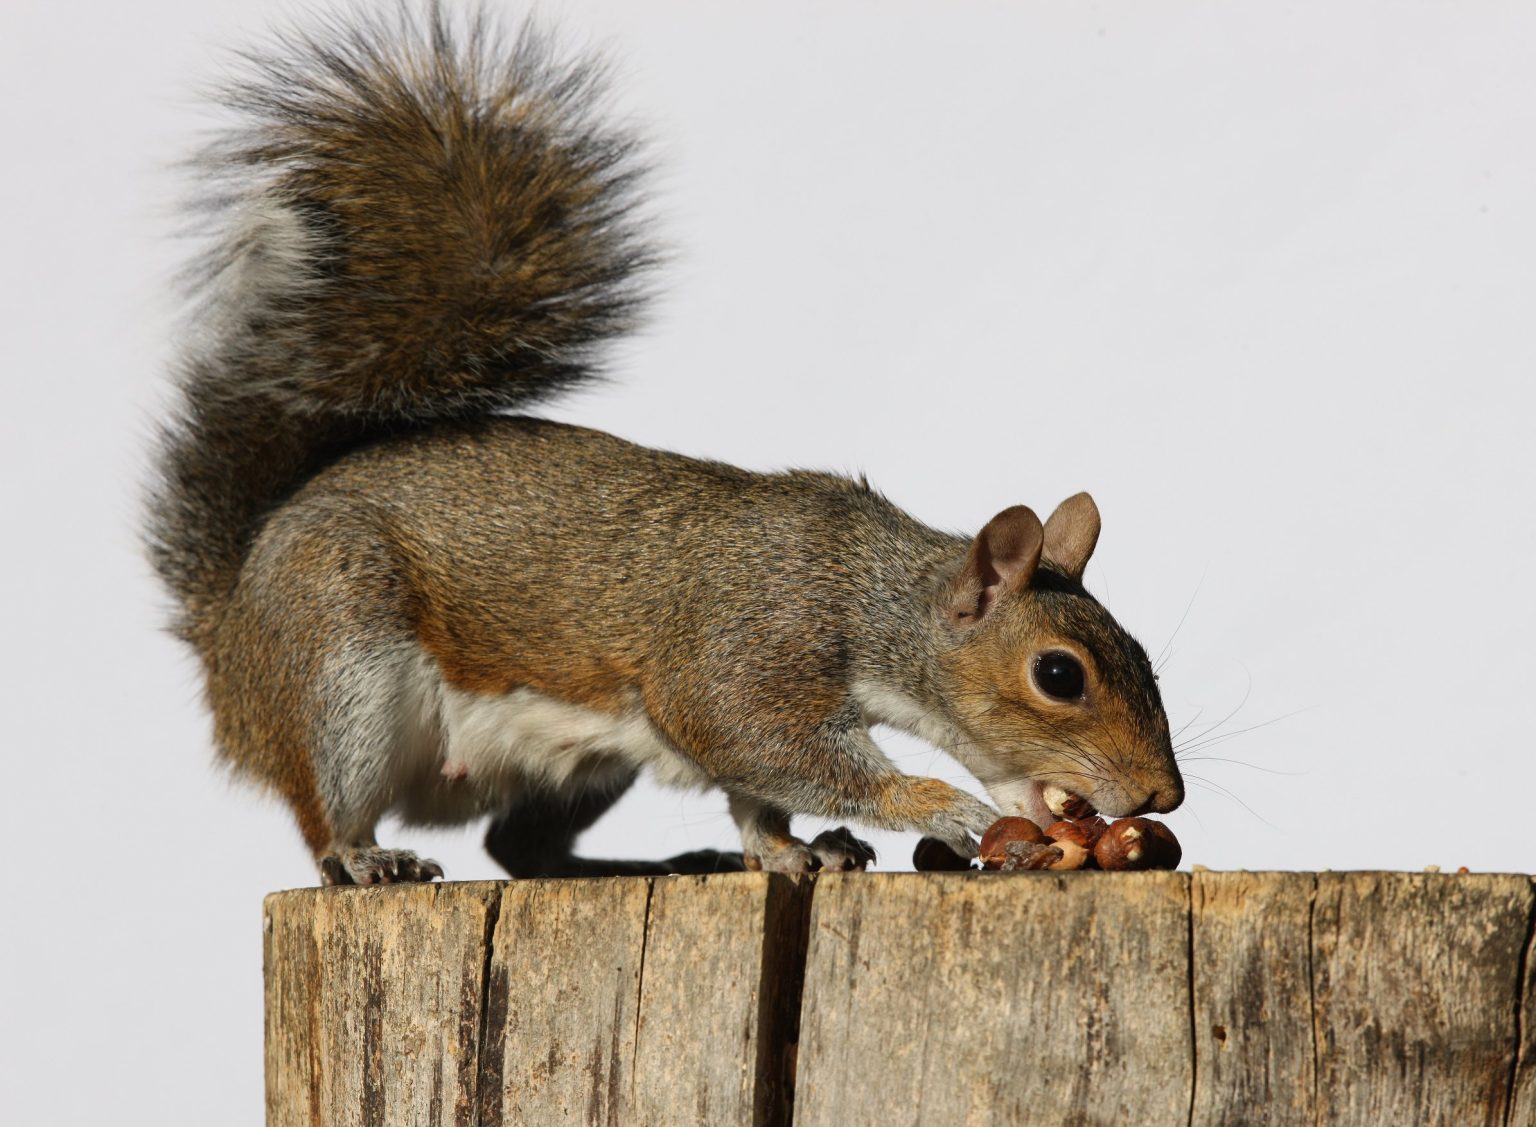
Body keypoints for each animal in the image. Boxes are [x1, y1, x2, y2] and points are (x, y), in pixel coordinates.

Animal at [146, 4, 1184, 886]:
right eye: (1059, 674)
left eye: (1142, 654)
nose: (1161, 794)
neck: (865, 589)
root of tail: (229, 622)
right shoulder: (745, 654)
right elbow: (762, 743)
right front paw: (940, 803)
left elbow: (755, 793)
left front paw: (793, 850)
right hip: (336, 666)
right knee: (328, 811)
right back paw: (369, 856)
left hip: (581, 766)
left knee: (521, 848)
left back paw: (654, 862)